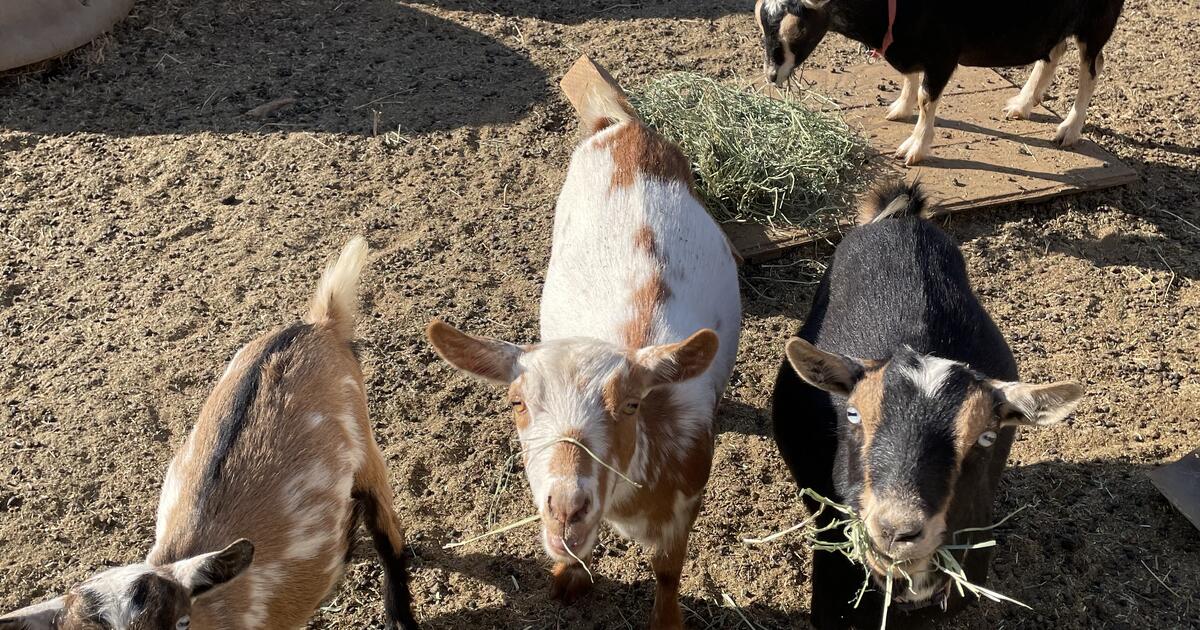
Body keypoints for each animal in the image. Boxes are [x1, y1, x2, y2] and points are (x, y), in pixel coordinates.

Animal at [426, 71, 741, 629]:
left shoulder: (686, 502)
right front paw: (569, 577)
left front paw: (666, 620)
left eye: (631, 404)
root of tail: (625, 127)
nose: (566, 508)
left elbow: (667, 571)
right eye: (516, 403)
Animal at [755, 0, 1124, 165]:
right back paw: (1022, 103)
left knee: (1092, 66)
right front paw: (899, 108)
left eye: (796, 32)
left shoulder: (942, 53)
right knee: (1055, 50)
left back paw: (1069, 130)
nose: (772, 76)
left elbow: (925, 97)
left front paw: (915, 147)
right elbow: (909, 79)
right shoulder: (909, 47)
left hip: (1097, 20)